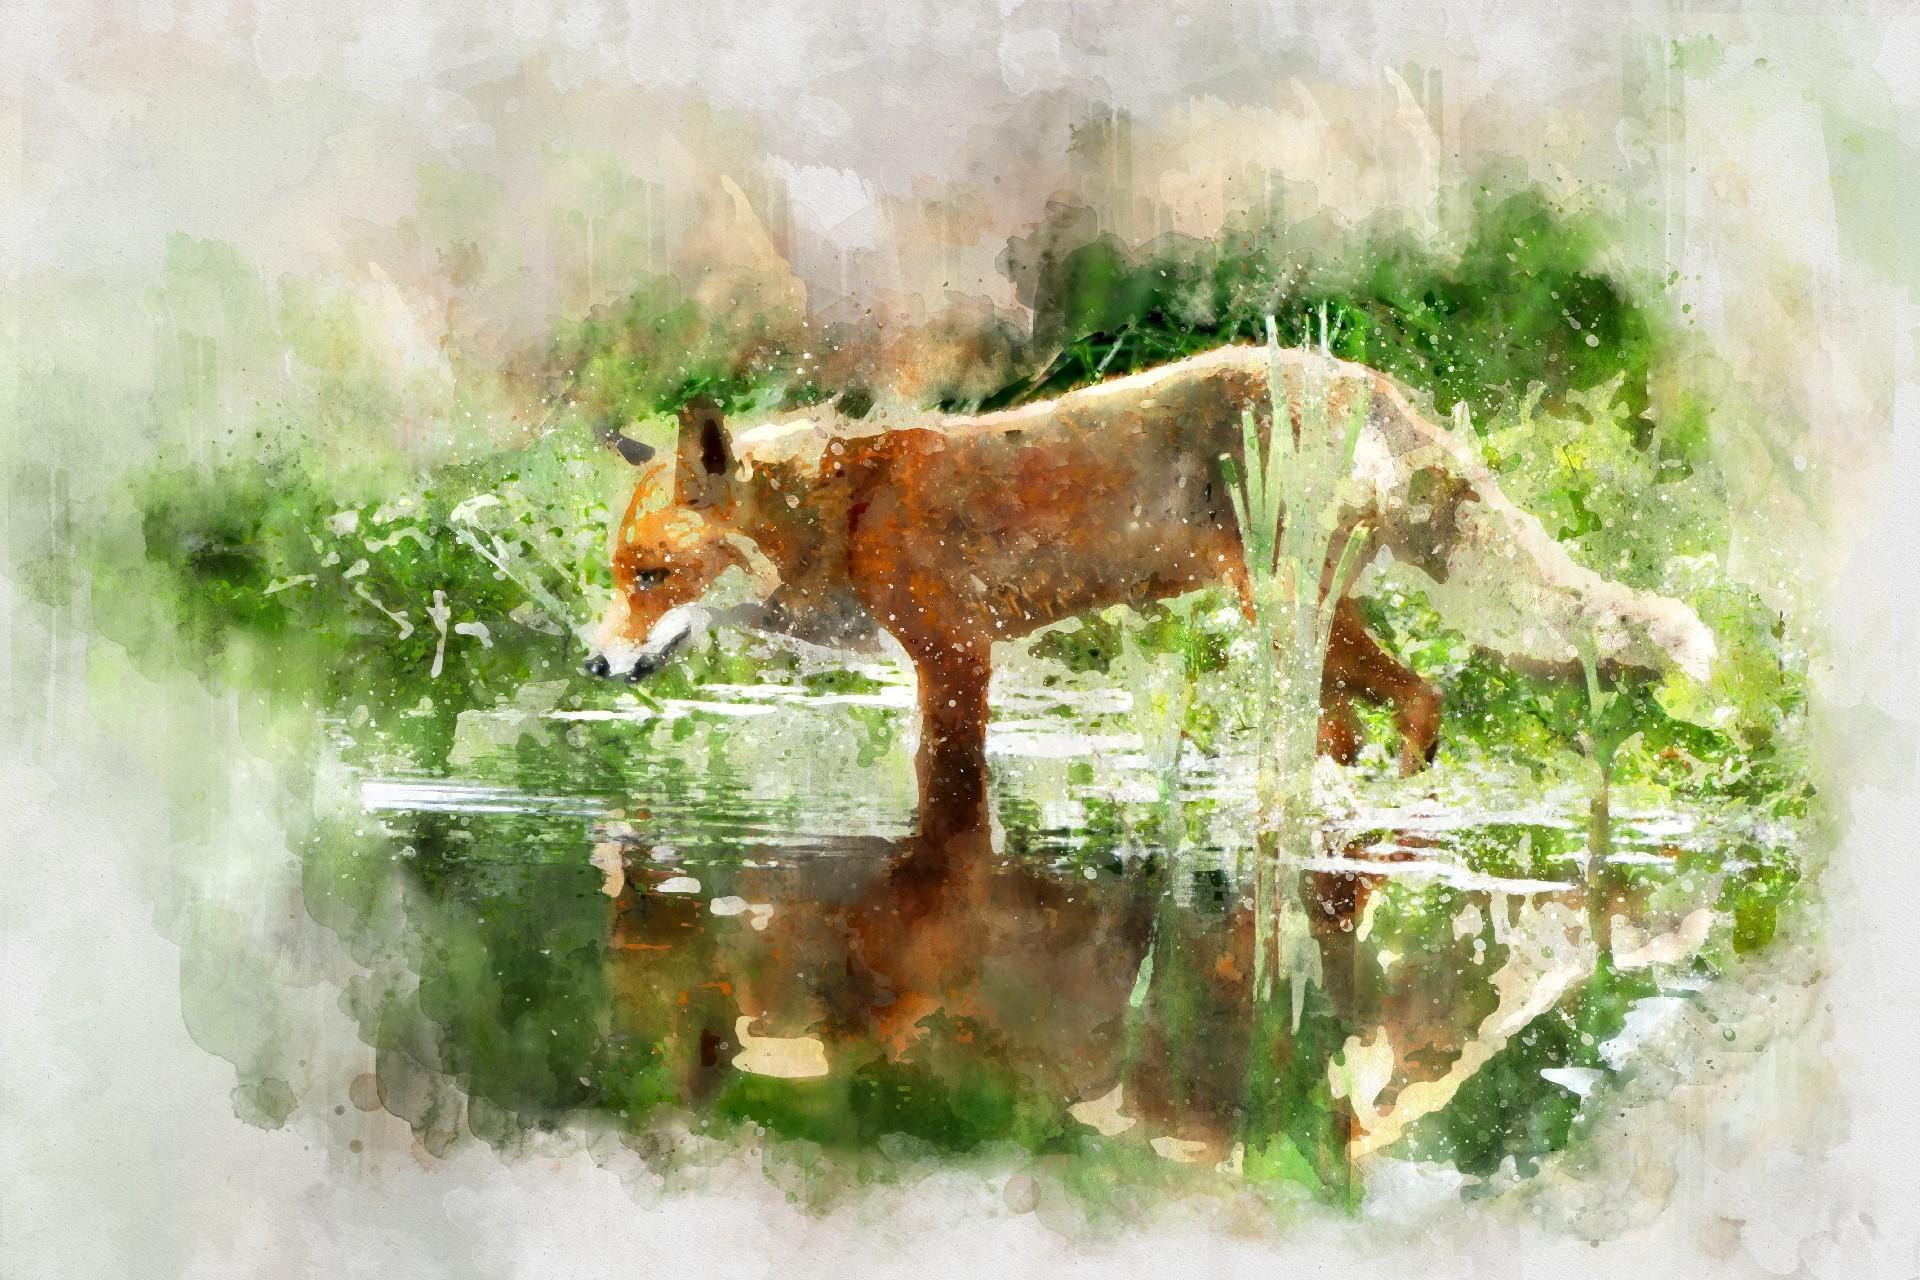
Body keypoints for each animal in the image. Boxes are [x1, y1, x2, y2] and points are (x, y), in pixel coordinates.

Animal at [583, 342, 1715, 836]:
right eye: (616, 577)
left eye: (653, 576)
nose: (591, 661)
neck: (844, 518)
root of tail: (1360, 376)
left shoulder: (956, 655)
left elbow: (946, 780)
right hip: (1299, 624)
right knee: (1362, 720)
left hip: (1281, 612)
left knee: (1420, 696)